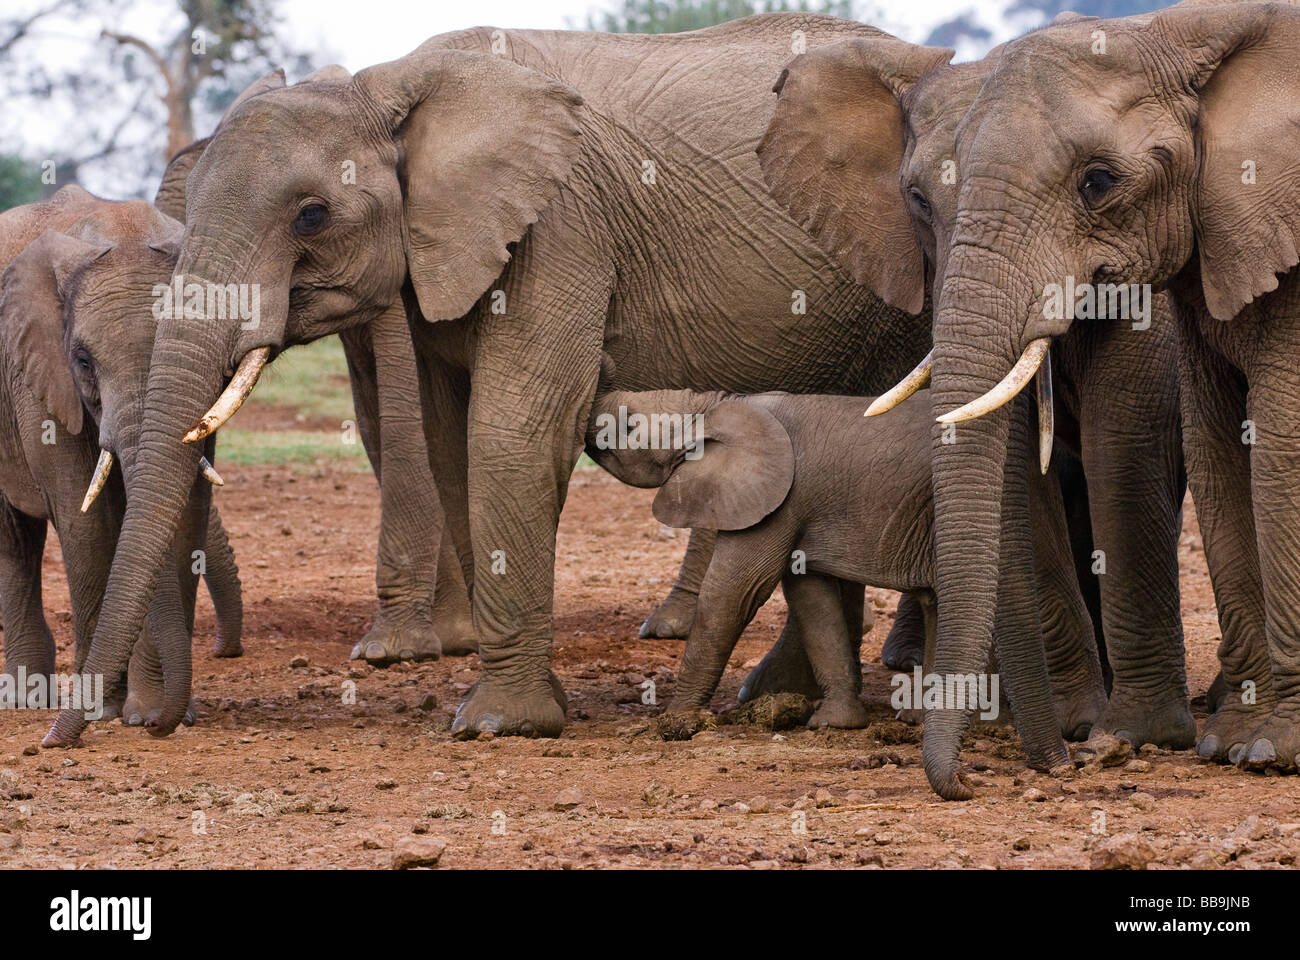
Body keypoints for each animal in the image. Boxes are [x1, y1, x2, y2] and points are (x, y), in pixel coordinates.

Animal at [0, 186, 241, 727]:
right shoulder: (41, 378)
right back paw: (25, 699)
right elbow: (85, 523)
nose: (52, 741)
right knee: (13, 538)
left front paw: (156, 712)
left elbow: (185, 517)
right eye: (83, 361)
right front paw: (101, 709)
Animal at [586, 384, 1098, 779]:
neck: (712, 404)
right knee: (937, 600)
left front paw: (676, 724)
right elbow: (811, 597)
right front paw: (834, 725)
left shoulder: (777, 499)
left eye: (628, 426)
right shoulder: (797, 504)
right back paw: (919, 716)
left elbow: (735, 591)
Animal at [753, 21, 1190, 798]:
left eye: (1094, 186)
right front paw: (1076, 722)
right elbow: (1026, 486)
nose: (1060, 767)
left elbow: (1123, 439)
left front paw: (1101, 732)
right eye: (916, 199)